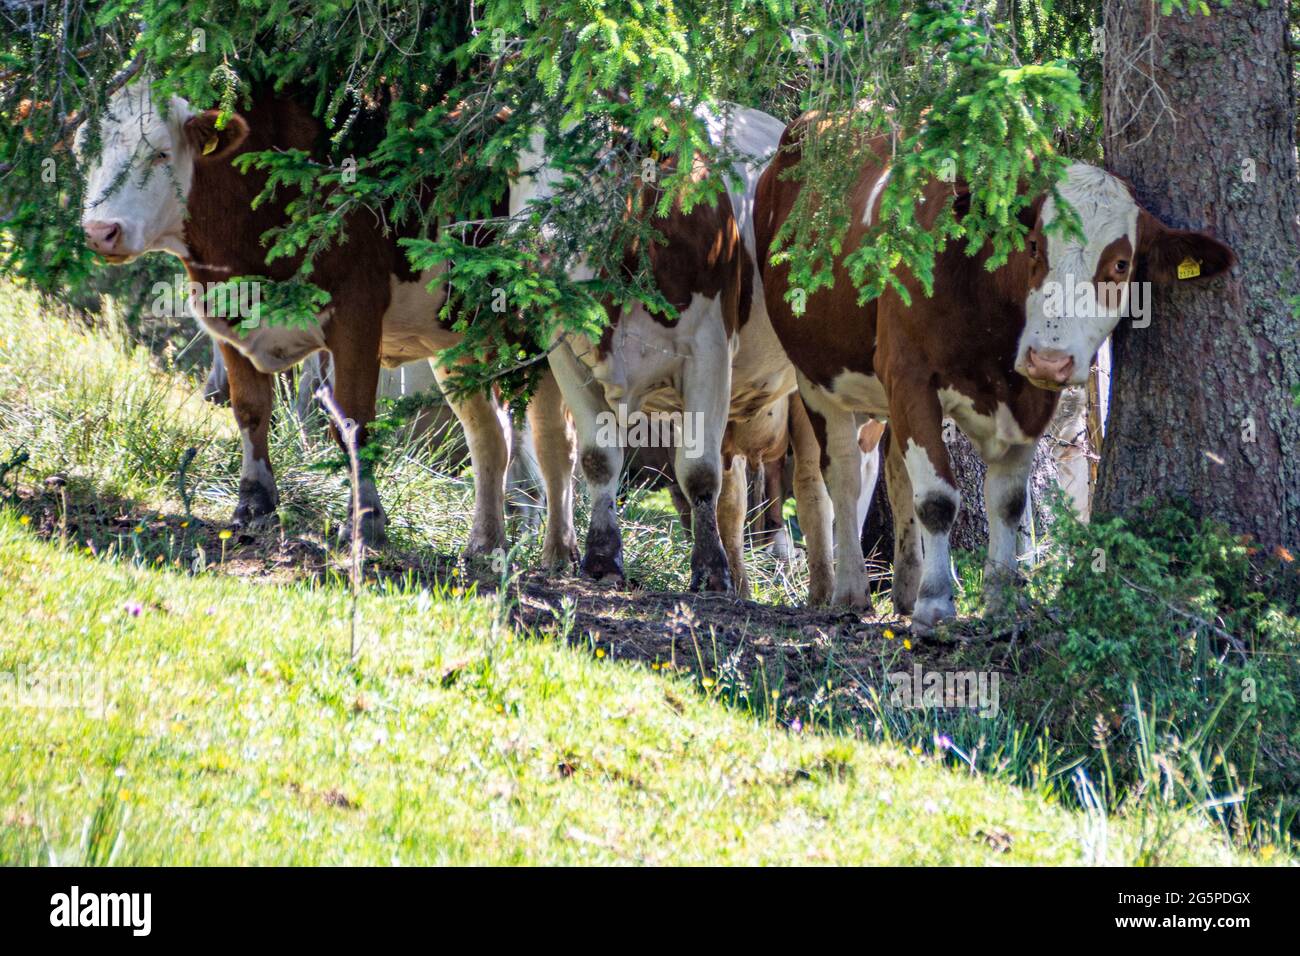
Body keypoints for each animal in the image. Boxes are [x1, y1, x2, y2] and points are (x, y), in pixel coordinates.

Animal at [75, 82, 577, 565]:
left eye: (160, 153)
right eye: (90, 154)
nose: (100, 232)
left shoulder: (356, 316)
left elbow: (353, 423)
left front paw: (366, 521)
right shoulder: (228, 320)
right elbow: (250, 410)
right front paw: (254, 505)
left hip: (545, 335)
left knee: (555, 443)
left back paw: (560, 550)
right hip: (458, 342)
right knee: (490, 438)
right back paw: (486, 544)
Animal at [512, 103, 833, 598]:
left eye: (597, 165)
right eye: (514, 168)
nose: (532, 247)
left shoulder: (708, 353)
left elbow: (699, 471)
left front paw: (710, 572)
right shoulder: (567, 354)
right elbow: (599, 458)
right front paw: (602, 559)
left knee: (819, 489)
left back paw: (831, 591)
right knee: (738, 495)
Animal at [755, 114, 1235, 633]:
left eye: (1121, 264)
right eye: (1034, 247)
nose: (1049, 358)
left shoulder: (1030, 399)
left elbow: (1007, 501)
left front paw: (1001, 597)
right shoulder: (910, 376)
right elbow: (938, 498)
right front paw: (937, 602)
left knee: (896, 475)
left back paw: (905, 588)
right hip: (816, 375)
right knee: (843, 475)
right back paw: (850, 588)